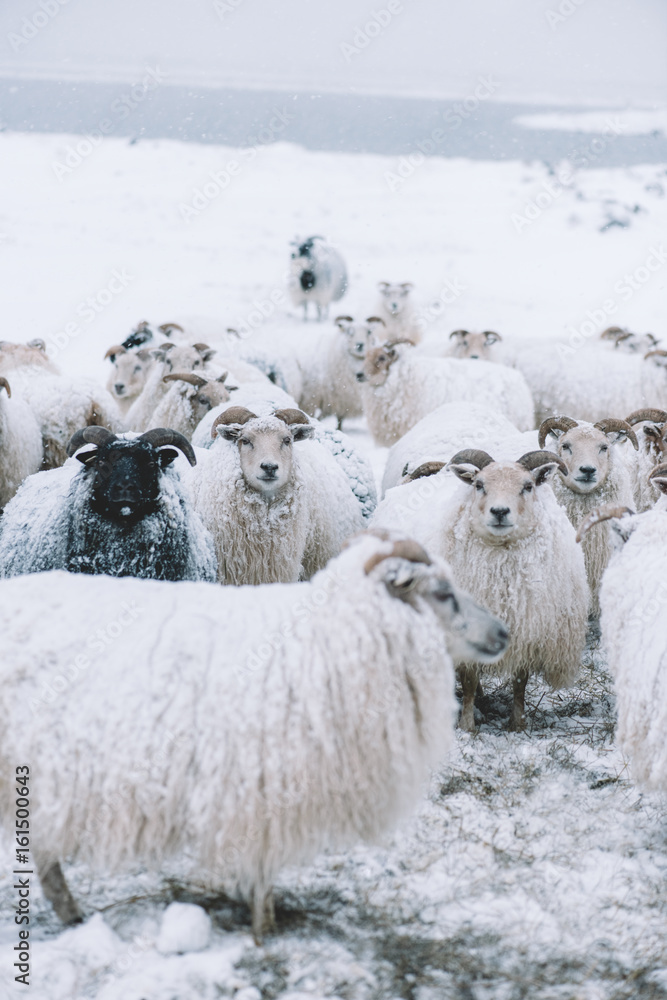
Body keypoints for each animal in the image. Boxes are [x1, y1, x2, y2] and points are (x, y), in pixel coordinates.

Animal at [0, 531, 508, 938]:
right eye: (442, 592)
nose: (504, 632)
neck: (328, 642)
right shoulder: (259, 785)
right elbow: (263, 867)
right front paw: (264, 929)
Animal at [428, 448, 589, 731]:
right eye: (479, 485)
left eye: (528, 486)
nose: (500, 511)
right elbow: (468, 680)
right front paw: (467, 725)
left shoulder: (527, 633)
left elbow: (520, 682)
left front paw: (518, 723)